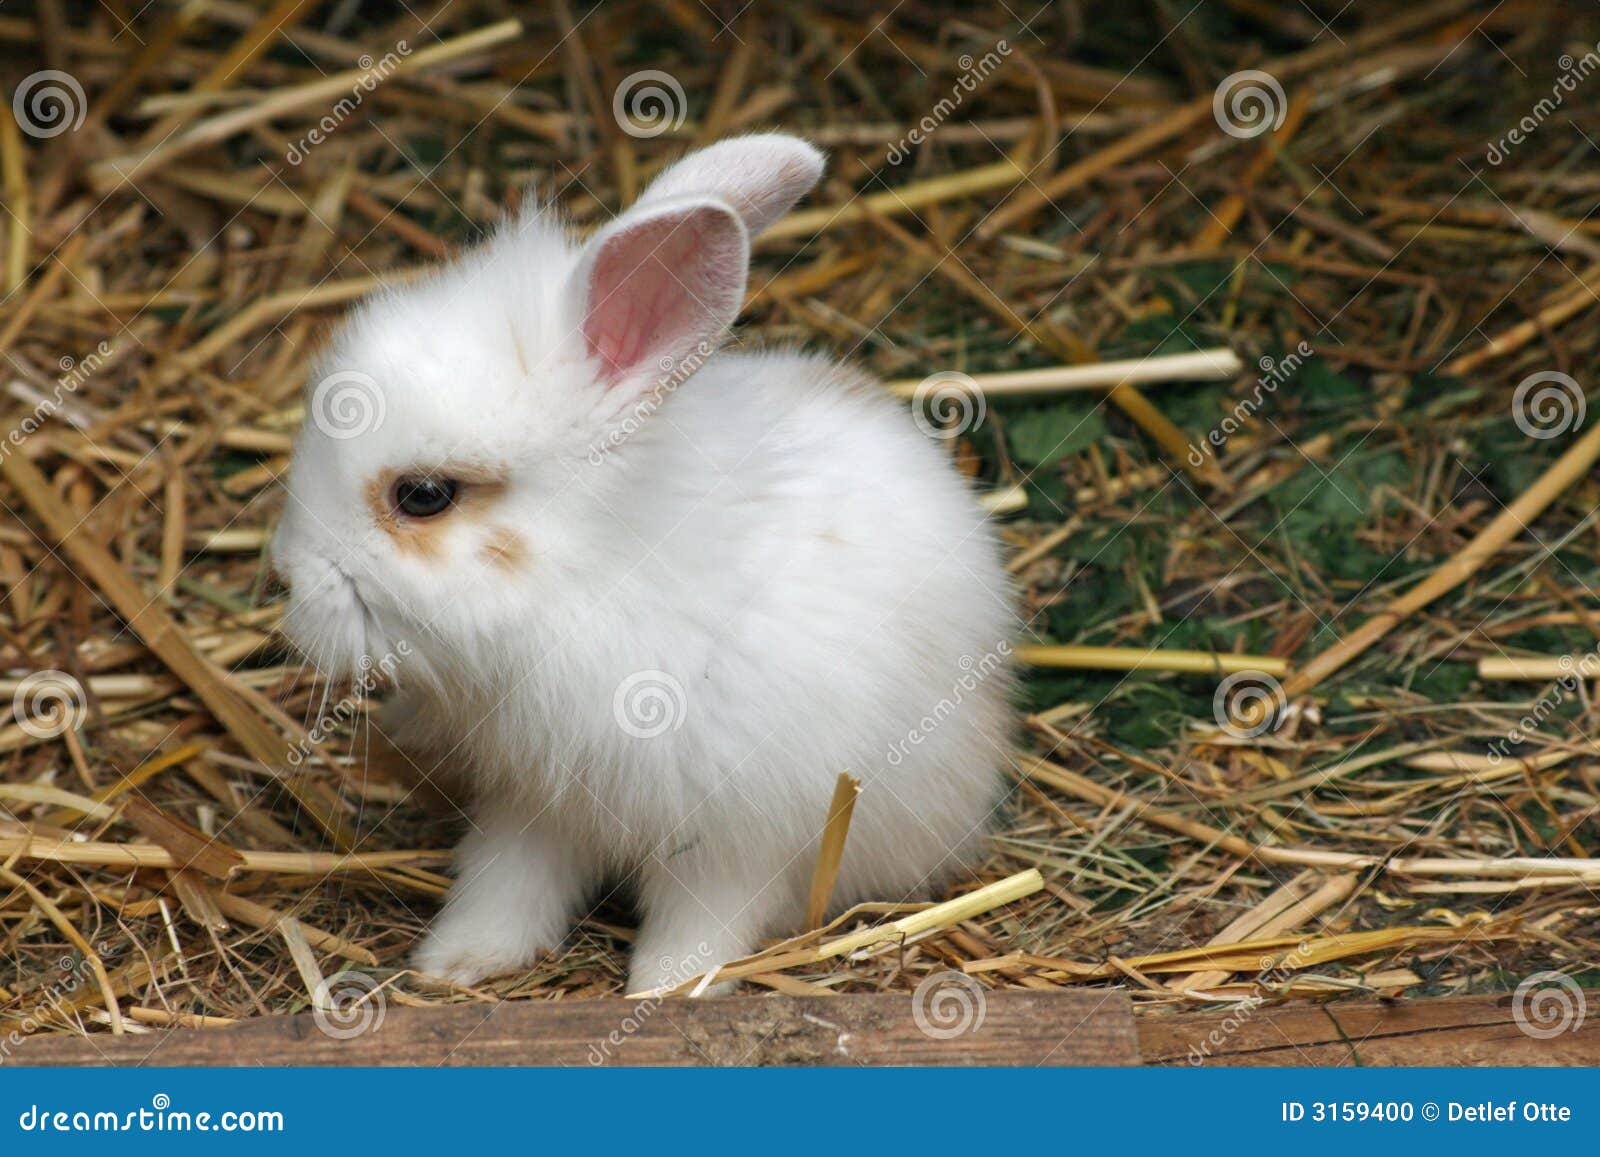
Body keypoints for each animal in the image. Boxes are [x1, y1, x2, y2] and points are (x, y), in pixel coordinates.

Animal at [270, 134, 1017, 995]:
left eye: (423, 495)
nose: (288, 572)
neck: (591, 582)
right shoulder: (535, 803)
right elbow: (505, 884)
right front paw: (454, 963)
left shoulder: (737, 834)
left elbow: (702, 922)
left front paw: (666, 990)